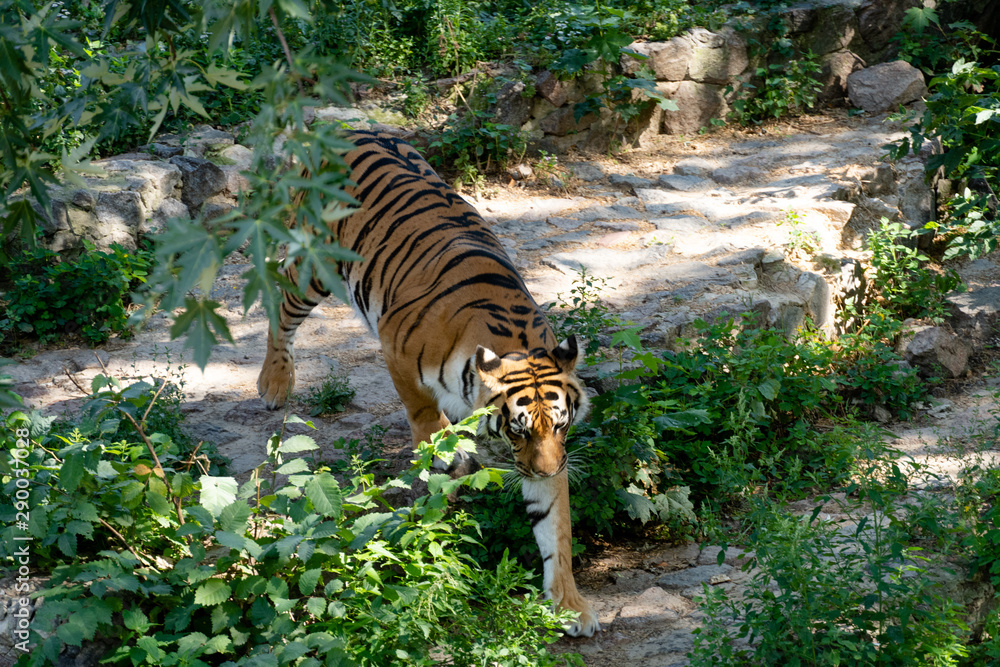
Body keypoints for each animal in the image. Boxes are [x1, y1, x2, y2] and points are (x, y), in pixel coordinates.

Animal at [257, 130, 600, 638]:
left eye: (558, 426)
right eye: (517, 429)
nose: (544, 470)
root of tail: (342, 129)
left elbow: (555, 529)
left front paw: (570, 606)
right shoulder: (396, 351)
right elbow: (426, 421)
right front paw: (444, 462)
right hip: (317, 266)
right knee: (281, 294)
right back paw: (275, 382)